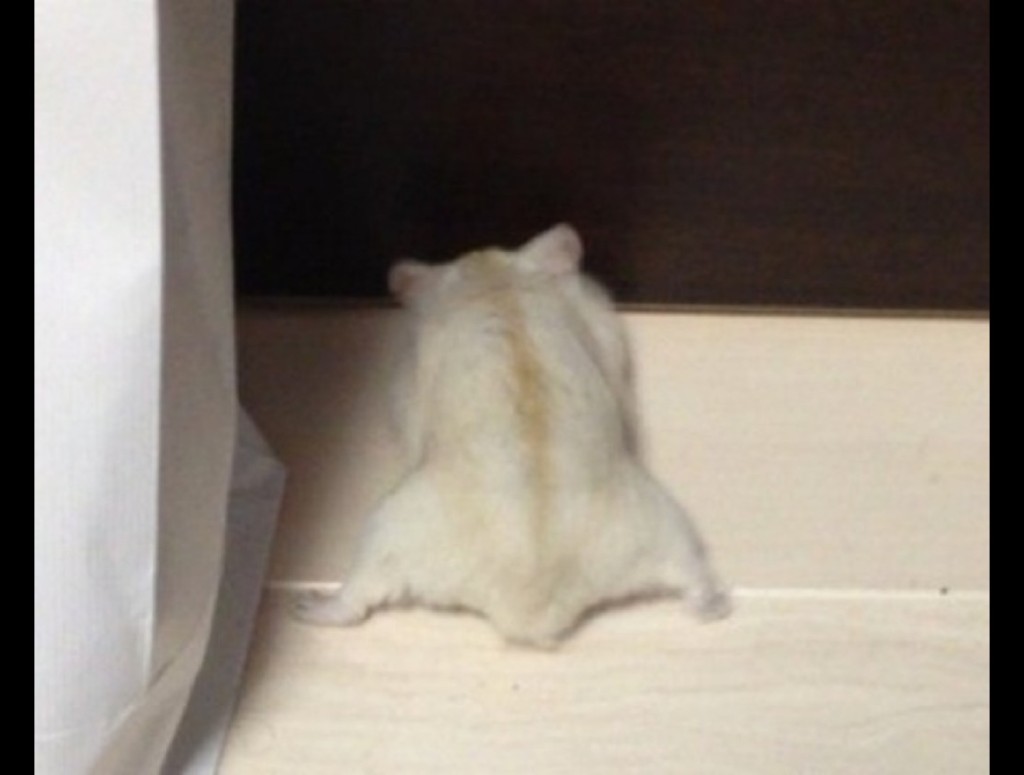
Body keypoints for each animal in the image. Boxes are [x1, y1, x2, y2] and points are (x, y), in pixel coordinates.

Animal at [292, 224, 730, 647]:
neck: (495, 283)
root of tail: (532, 609)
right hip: (663, 526)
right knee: (692, 577)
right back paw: (717, 605)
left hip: (387, 531)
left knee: (355, 599)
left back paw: (309, 605)